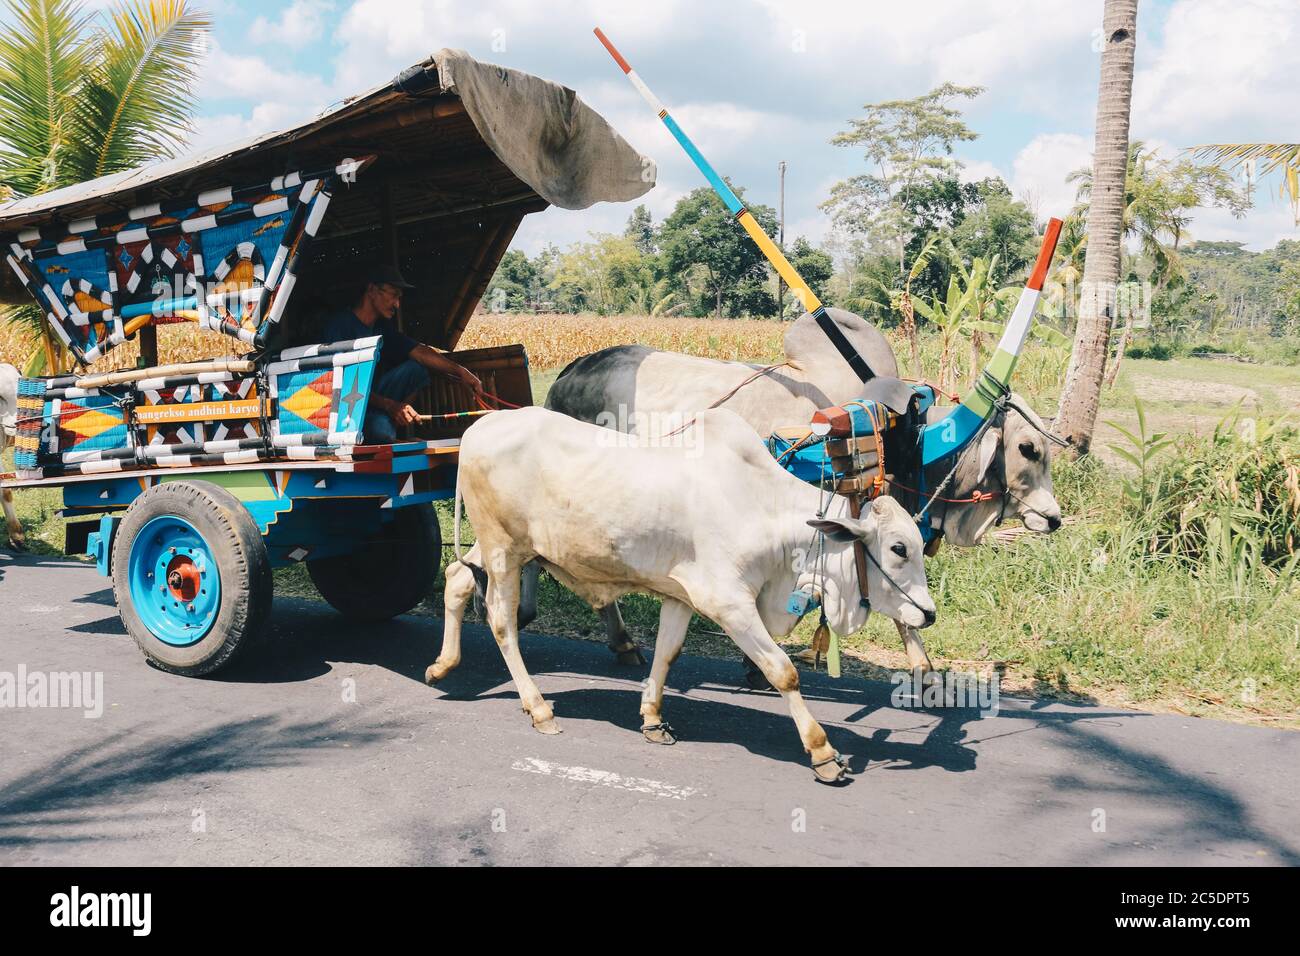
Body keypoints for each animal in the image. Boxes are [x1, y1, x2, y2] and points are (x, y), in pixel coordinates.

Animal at [426, 405, 936, 783]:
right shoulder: (729, 603)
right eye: (898, 548)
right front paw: (823, 753)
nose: (928, 615)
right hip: (504, 552)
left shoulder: (682, 596)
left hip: (504, 549)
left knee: (456, 577)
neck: (762, 509)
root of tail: (480, 426)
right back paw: (537, 707)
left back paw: (442, 665)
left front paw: (652, 719)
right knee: (501, 622)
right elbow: (784, 672)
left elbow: (667, 655)